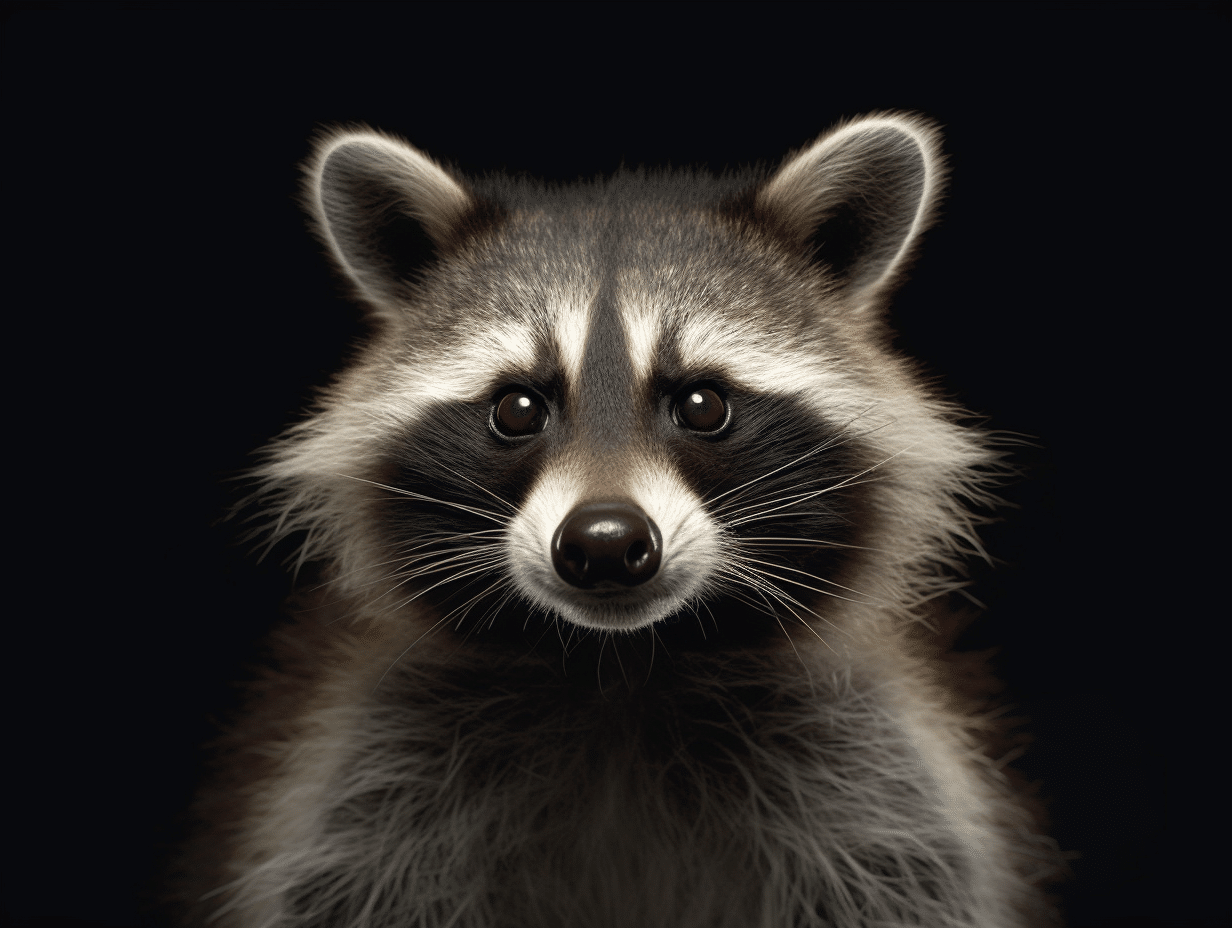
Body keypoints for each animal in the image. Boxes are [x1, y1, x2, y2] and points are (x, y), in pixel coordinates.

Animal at [173, 114, 1060, 927]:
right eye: (517, 408)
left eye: (702, 404)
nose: (604, 544)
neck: (620, 670)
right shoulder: (374, 791)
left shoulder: (873, 784)